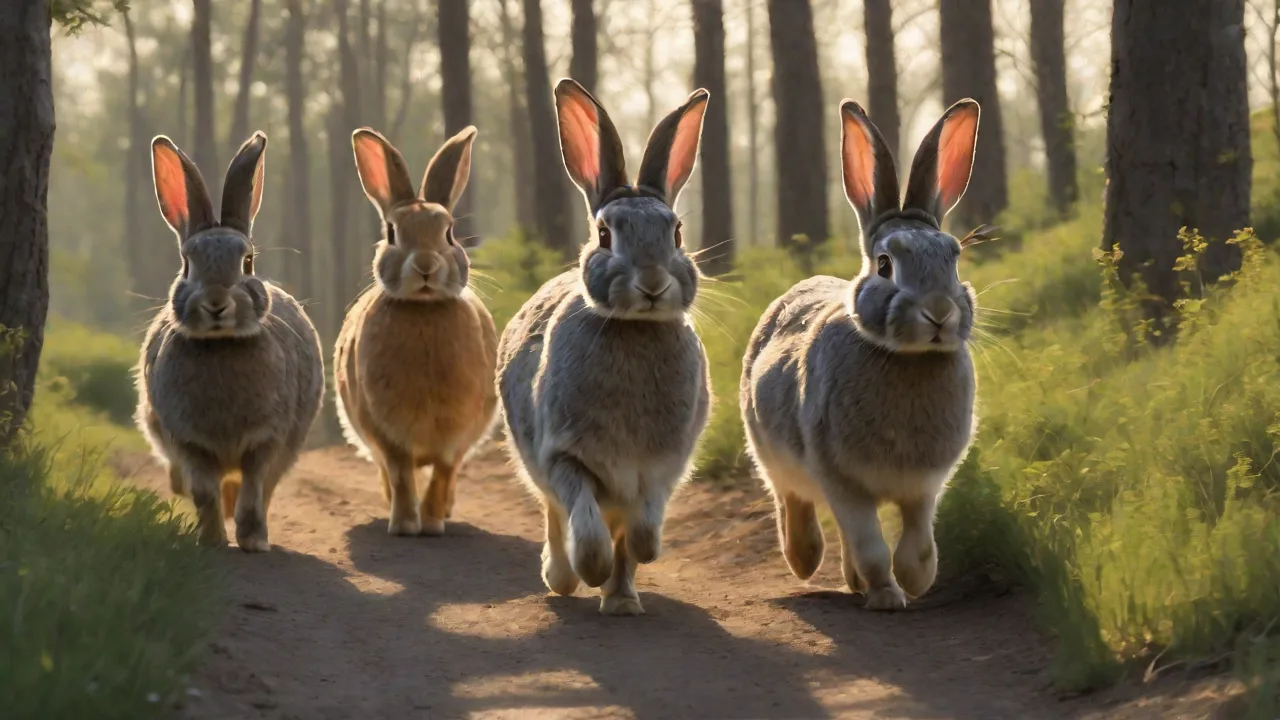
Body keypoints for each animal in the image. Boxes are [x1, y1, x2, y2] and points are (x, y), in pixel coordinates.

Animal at [135, 132, 325, 552]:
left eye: (247, 262)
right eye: (187, 264)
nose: (216, 302)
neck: (222, 343)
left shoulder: (266, 439)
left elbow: (254, 491)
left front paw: (253, 541)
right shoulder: (188, 442)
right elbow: (204, 492)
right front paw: (210, 541)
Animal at [335, 125, 499, 537]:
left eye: (450, 233)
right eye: (392, 232)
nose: (426, 266)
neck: (423, 310)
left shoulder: (455, 437)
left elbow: (443, 473)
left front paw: (433, 523)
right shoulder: (386, 434)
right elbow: (400, 474)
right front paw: (405, 526)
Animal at [497, 79, 712, 616]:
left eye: (677, 233)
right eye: (603, 234)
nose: (653, 284)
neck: (633, 327)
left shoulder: (660, 469)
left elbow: (642, 534)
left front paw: (631, 568)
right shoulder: (565, 457)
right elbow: (586, 527)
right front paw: (587, 570)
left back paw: (622, 601)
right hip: (537, 463)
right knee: (556, 516)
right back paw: (562, 579)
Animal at [740, 98, 982, 609]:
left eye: (953, 260)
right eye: (885, 265)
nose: (938, 312)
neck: (908, 358)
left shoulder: (924, 486)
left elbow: (918, 542)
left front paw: (913, 582)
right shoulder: (843, 480)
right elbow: (870, 542)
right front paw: (888, 597)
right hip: (769, 448)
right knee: (792, 499)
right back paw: (805, 559)